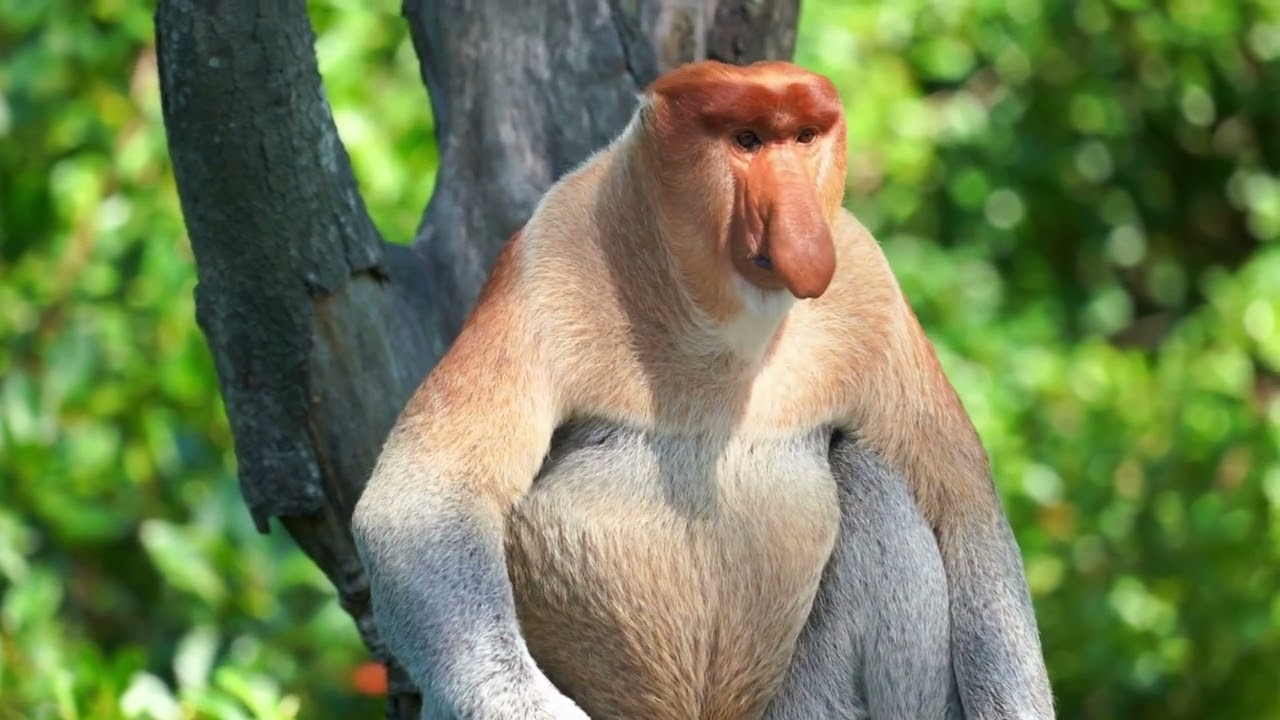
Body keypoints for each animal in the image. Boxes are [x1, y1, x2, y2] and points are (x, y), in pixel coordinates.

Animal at [351, 60, 1055, 720]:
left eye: (803, 137)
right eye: (746, 140)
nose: (801, 231)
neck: (716, 320)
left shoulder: (866, 280)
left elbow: (964, 507)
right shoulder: (548, 255)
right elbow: (424, 500)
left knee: (873, 477)